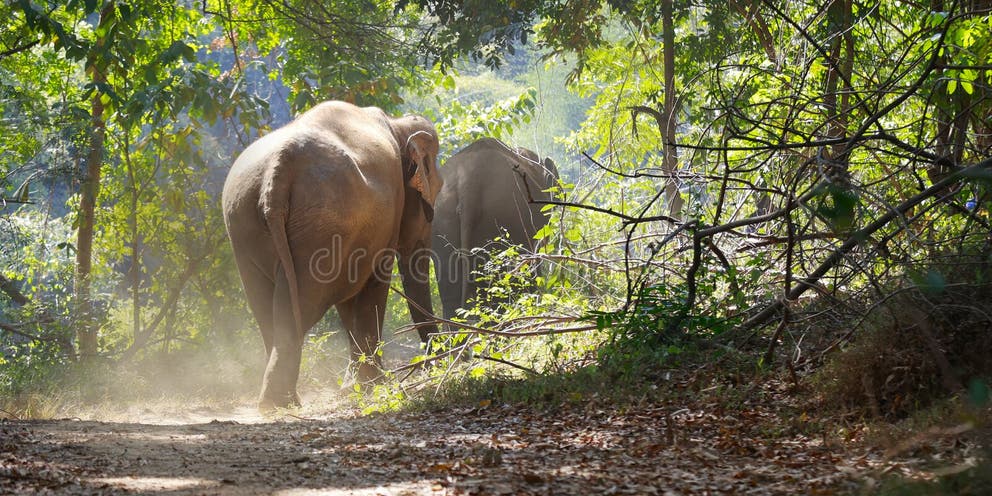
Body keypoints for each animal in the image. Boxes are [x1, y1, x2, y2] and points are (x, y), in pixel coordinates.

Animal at [222, 101, 442, 410]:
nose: (433, 365)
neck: (395, 122)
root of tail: (279, 169)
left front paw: (353, 387)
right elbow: (373, 286)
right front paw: (373, 386)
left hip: (243, 224)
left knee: (265, 307)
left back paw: (278, 401)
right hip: (321, 228)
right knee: (301, 305)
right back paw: (280, 402)